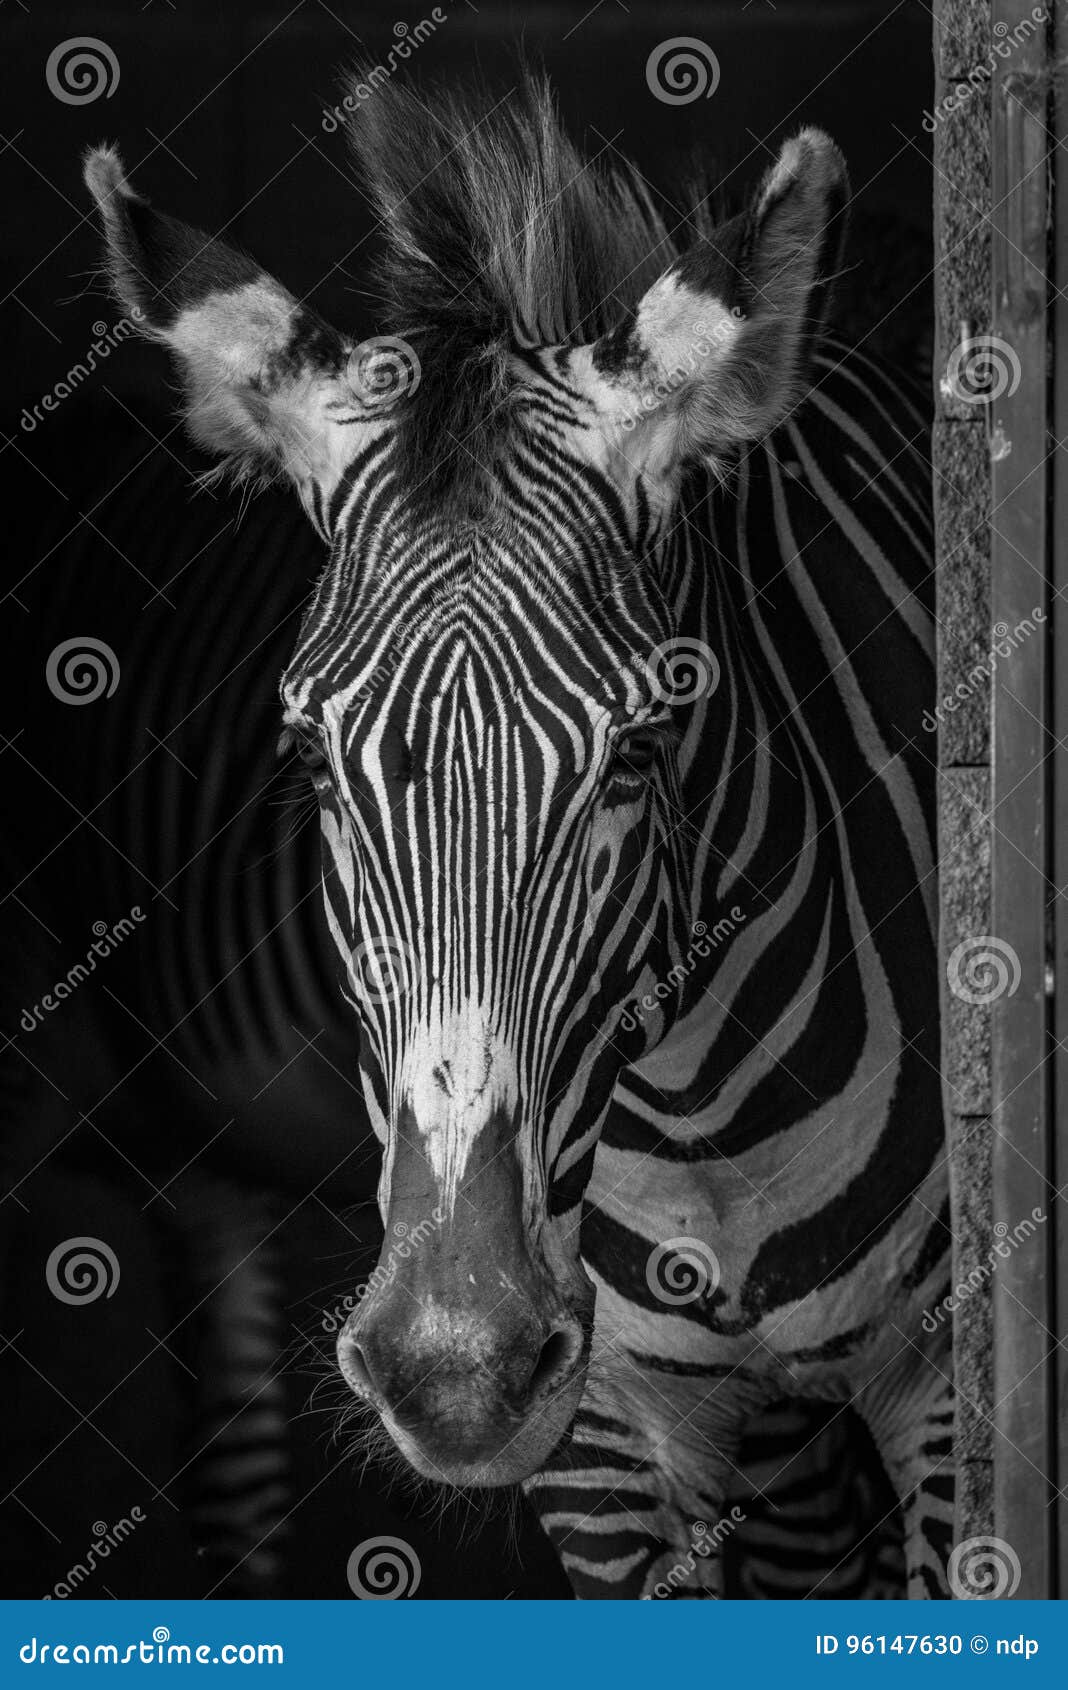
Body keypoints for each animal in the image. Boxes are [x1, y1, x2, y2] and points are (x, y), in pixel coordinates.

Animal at [80, 70, 951, 1597]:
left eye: (640, 752)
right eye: (310, 765)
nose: (455, 1367)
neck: (706, 1125)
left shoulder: (958, 1375)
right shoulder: (601, 1439)